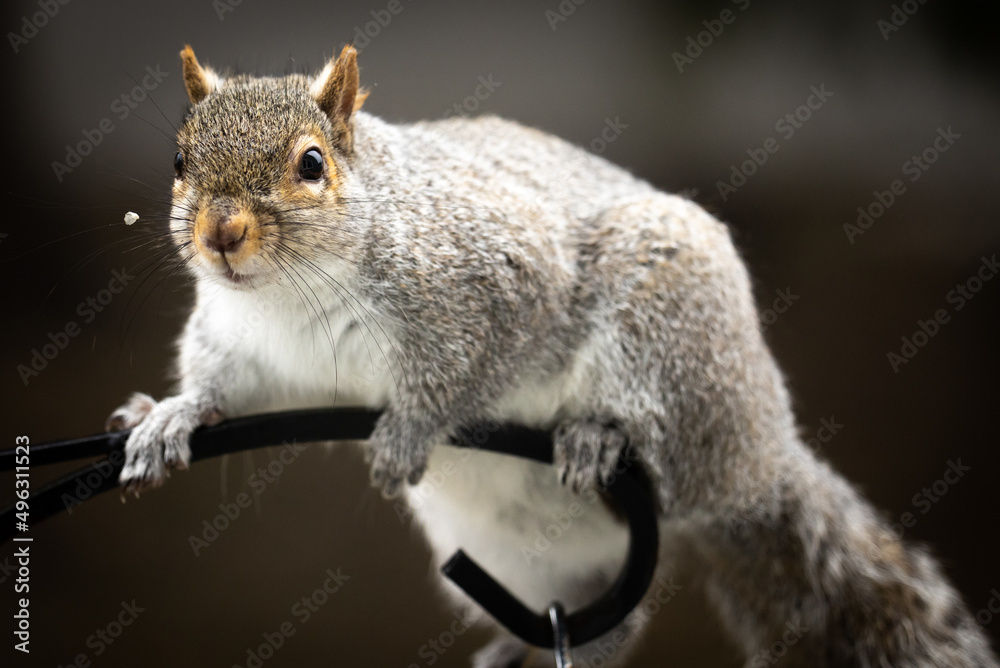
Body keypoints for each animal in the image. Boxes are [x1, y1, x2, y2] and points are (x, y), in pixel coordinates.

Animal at [106, 45, 997, 667]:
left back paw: (599, 437)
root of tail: (760, 455)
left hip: (664, 330)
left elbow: (469, 369)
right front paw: (172, 416)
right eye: (180, 161)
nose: (221, 235)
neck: (290, 291)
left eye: (312, 164)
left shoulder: (498, 281)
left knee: (665, 461)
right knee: (603, 614)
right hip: (516, 548)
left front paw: (410, 428)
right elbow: (220, 386)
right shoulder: (242, 342)